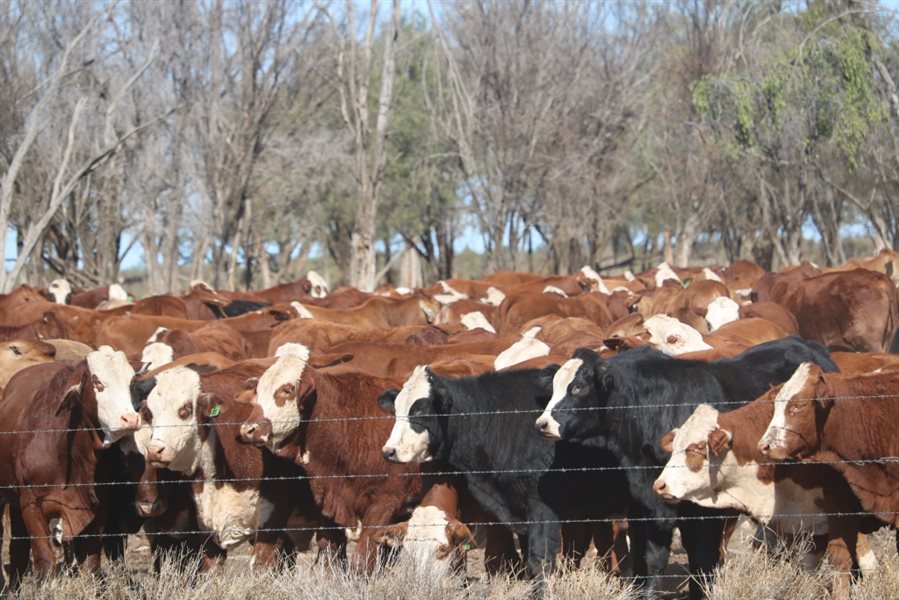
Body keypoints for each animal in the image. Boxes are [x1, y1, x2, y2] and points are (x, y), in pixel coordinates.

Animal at [0, 346, 141, 589]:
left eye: (131, 382)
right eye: (97, 382)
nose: (130, 419)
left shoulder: (99, 505)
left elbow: (91, 563)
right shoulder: (30, 504)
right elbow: (45, 560)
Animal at [533, 336, 839, 599]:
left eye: (577, 387)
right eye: (555, 388)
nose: (542, 423)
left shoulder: (704, 514)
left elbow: (702, 562)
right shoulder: (646, 507)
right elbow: (650, 561)